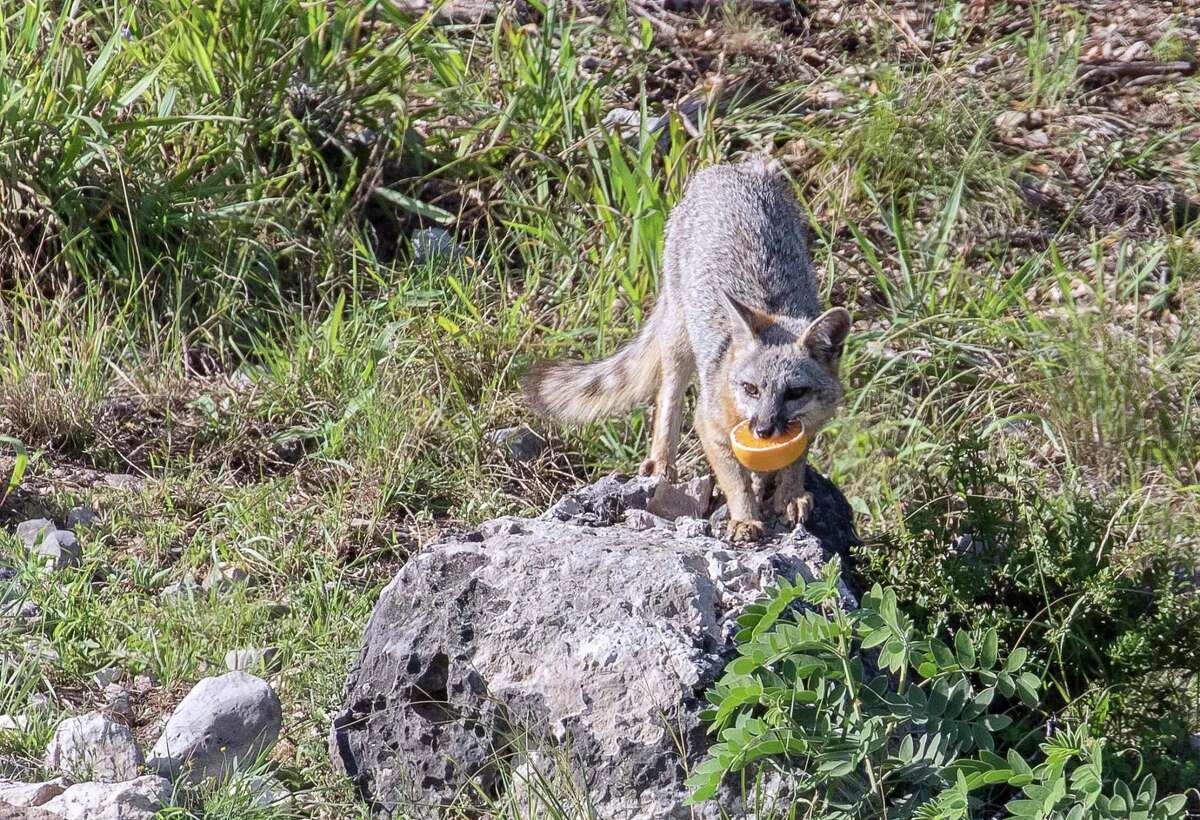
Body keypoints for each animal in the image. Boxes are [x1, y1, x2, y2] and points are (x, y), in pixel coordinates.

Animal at [522, 159, 851, 542]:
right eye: (751, 389)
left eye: (795, 392)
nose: (763, 431)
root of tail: (732, 167)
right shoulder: (710, 425)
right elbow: (734, 481)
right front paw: (745, 518)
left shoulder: (809, 426)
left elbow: (794, 461)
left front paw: (789, 493)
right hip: (679, 338)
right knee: (668, 393)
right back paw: (663, 462)